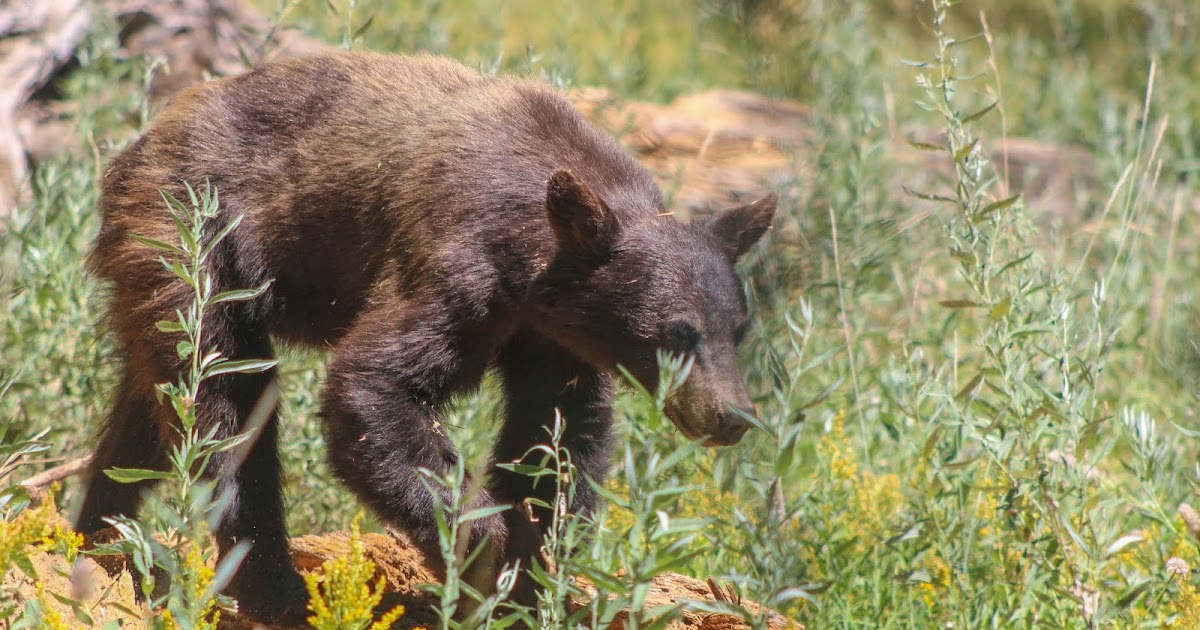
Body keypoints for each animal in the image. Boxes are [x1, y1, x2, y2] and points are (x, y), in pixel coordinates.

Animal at [75, 51, 777, 622]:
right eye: (676, 332)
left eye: (737, 329)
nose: (733, 415)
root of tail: (136, 146)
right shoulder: (454, 260)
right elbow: (376, 385)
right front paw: (478, 551)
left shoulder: (553, 336)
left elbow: (555, 435)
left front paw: (536, 569)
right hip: (193, 234)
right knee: (225, 394)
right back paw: (270, 585)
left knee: (146, 408)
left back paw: (93, 535)